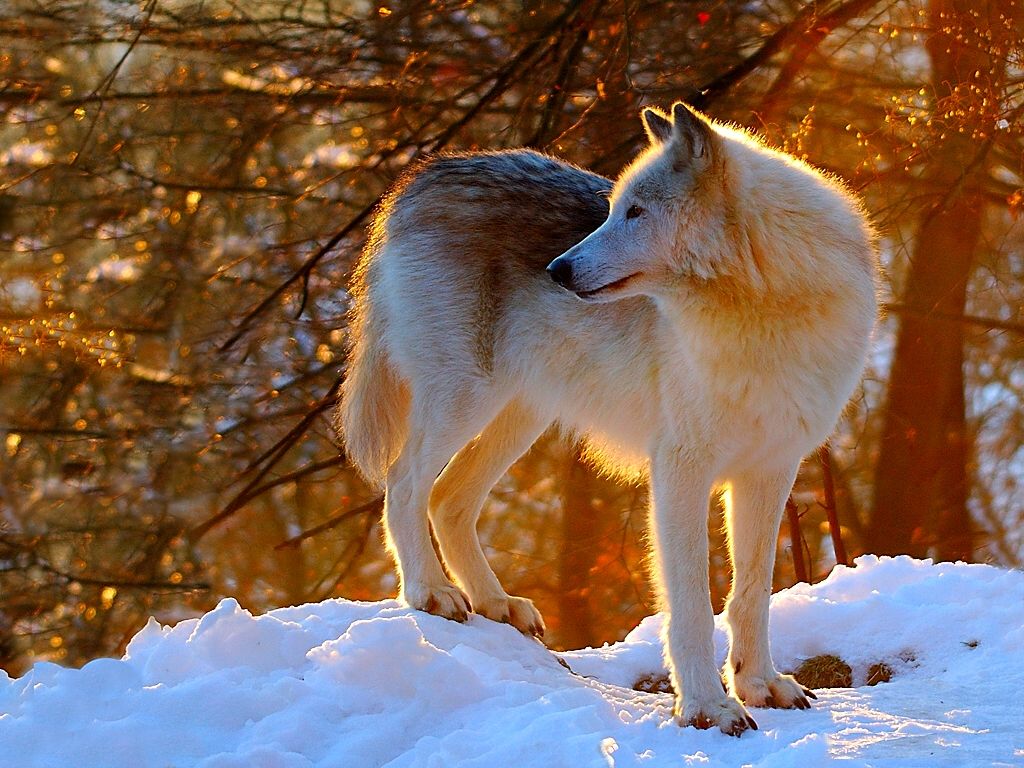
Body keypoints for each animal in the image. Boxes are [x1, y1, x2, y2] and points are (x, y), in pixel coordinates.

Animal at [337, 102, 877, 735]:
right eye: (614, 208)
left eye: (636, 213)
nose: (556, 269)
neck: (762, 309)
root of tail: (421, 178)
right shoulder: (680, 470)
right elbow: (692, 605)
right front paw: (708, 708)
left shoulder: (770, 471)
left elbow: (752, 595)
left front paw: (760, 686)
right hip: (464, 400)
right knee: (403, 485)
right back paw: (430, 593)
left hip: (519, 416)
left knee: (447, 499)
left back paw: (496, 604)